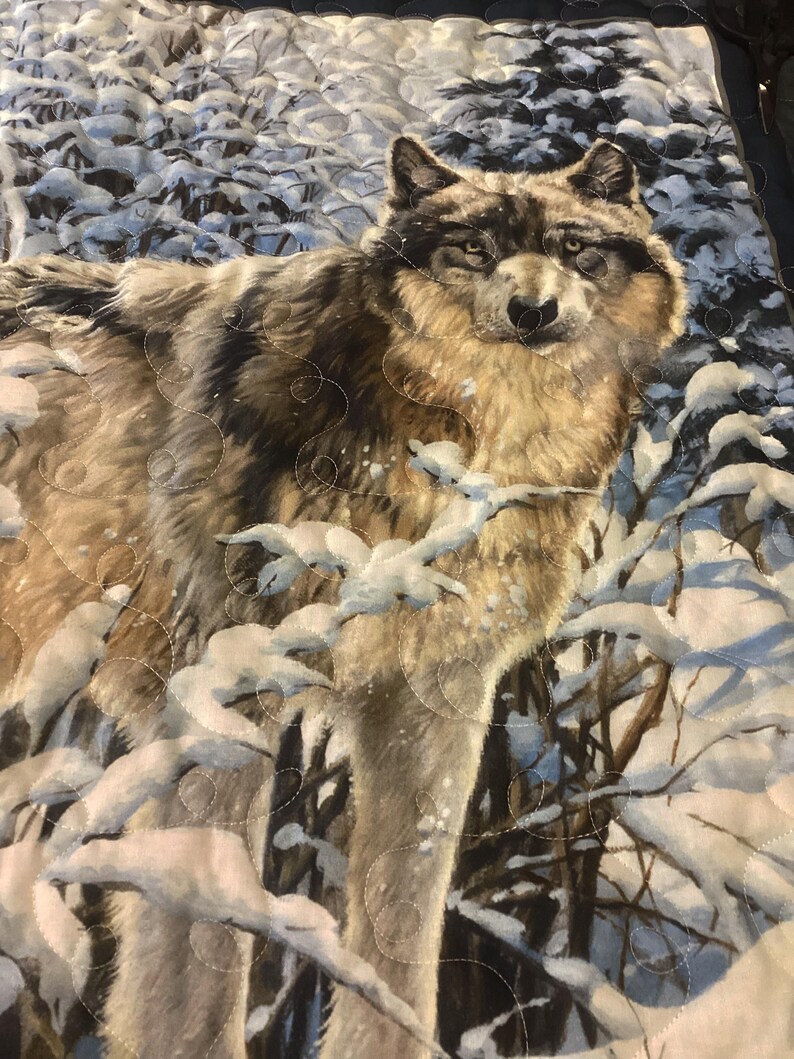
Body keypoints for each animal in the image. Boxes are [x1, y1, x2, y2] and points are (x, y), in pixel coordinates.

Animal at [0, 136, 685, 1058]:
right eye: (474, 249)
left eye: (576, 250)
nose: (532, 309)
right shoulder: (220, 697)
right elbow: (202, 941)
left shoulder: (438, 703)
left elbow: (400, 928)